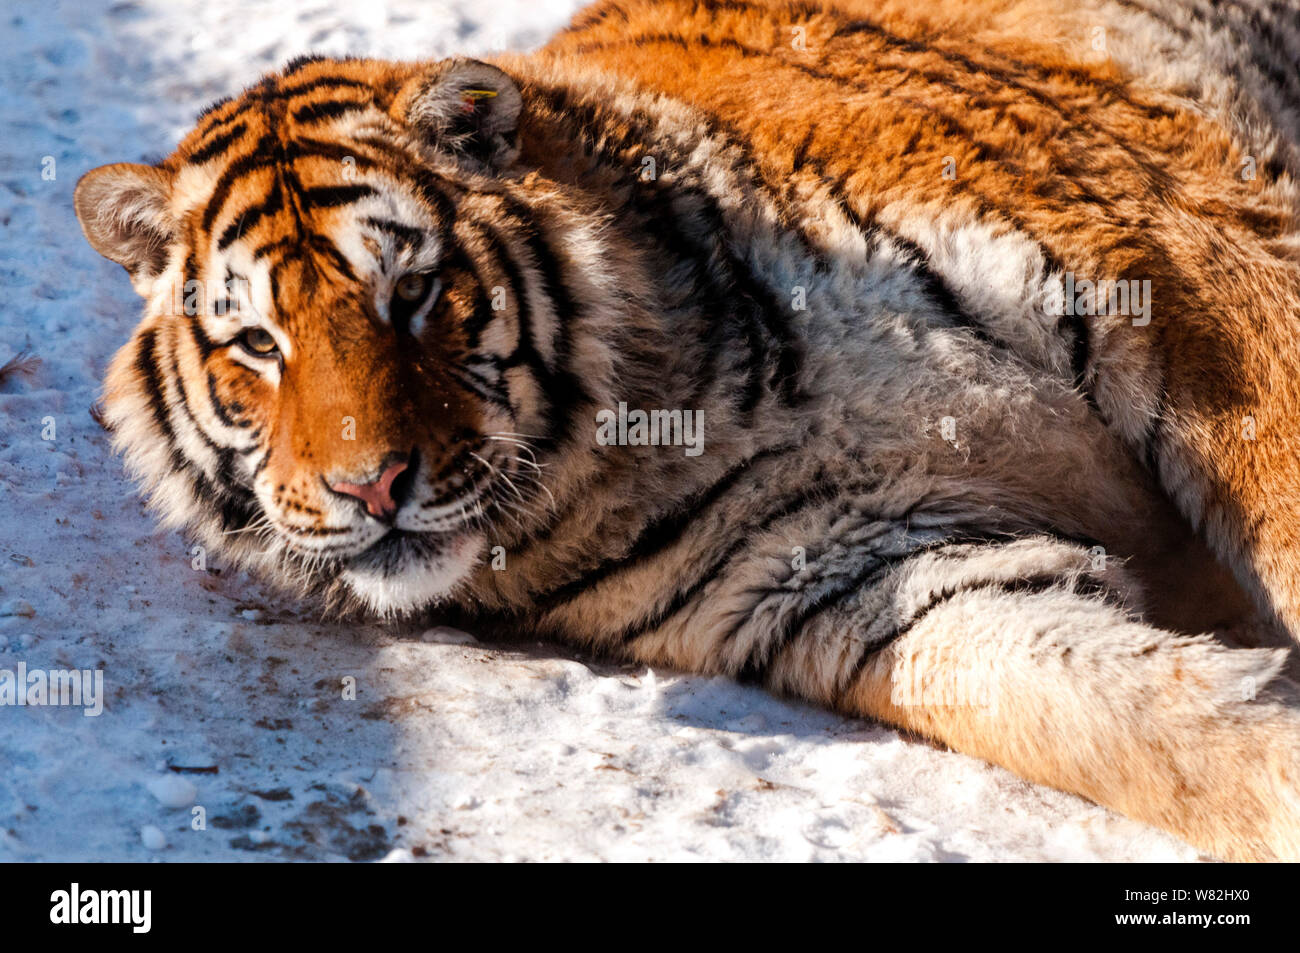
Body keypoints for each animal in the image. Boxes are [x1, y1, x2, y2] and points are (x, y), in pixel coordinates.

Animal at [74, 0, 1300, 861]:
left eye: (412, 291)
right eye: (257, 343)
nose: (369, 487)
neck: (665, 424)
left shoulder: (1167, 250)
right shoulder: (860, 572)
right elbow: (1126, 716)